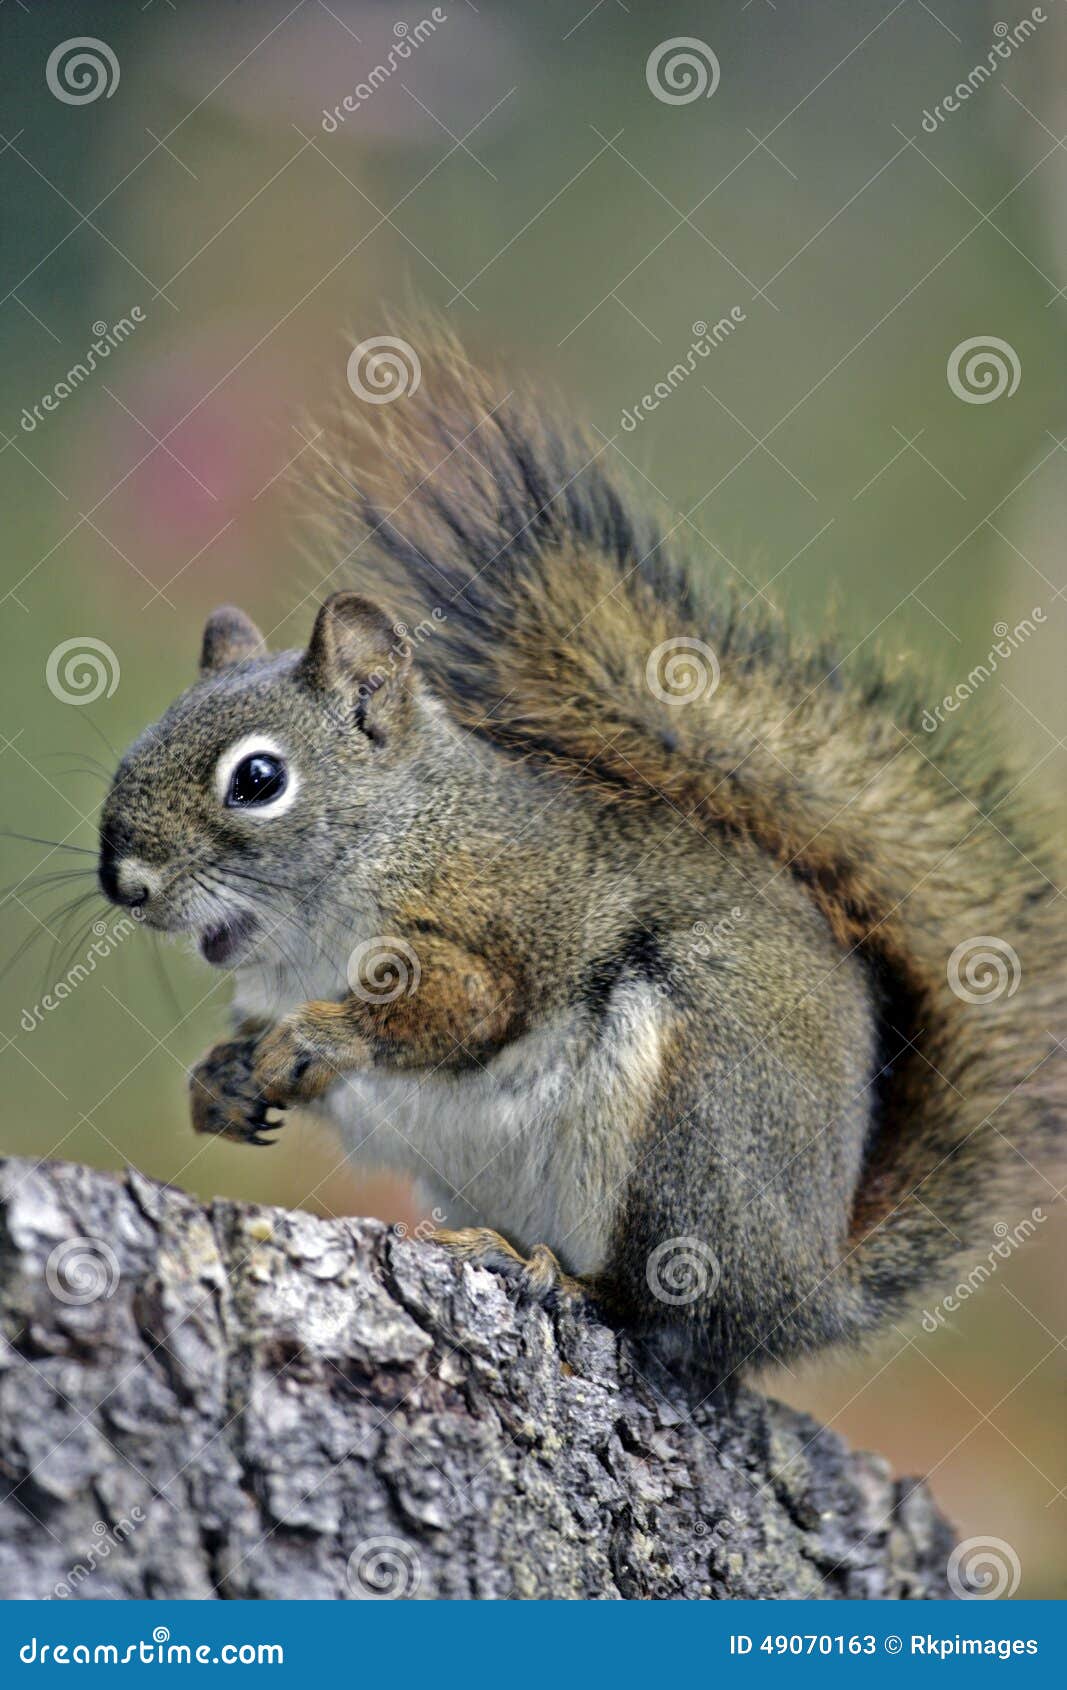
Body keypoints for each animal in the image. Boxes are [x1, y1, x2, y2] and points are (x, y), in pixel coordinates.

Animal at [98, 328, 1063, 1381]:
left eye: (258, 779)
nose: (123, 882)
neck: (389, 838)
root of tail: (810, 1293)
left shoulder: (498, 913)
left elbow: (465, 1009)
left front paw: (319, 1037)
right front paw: (221, 1083)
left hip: (692, 1120)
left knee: (663, 1304)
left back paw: (556, 1274)